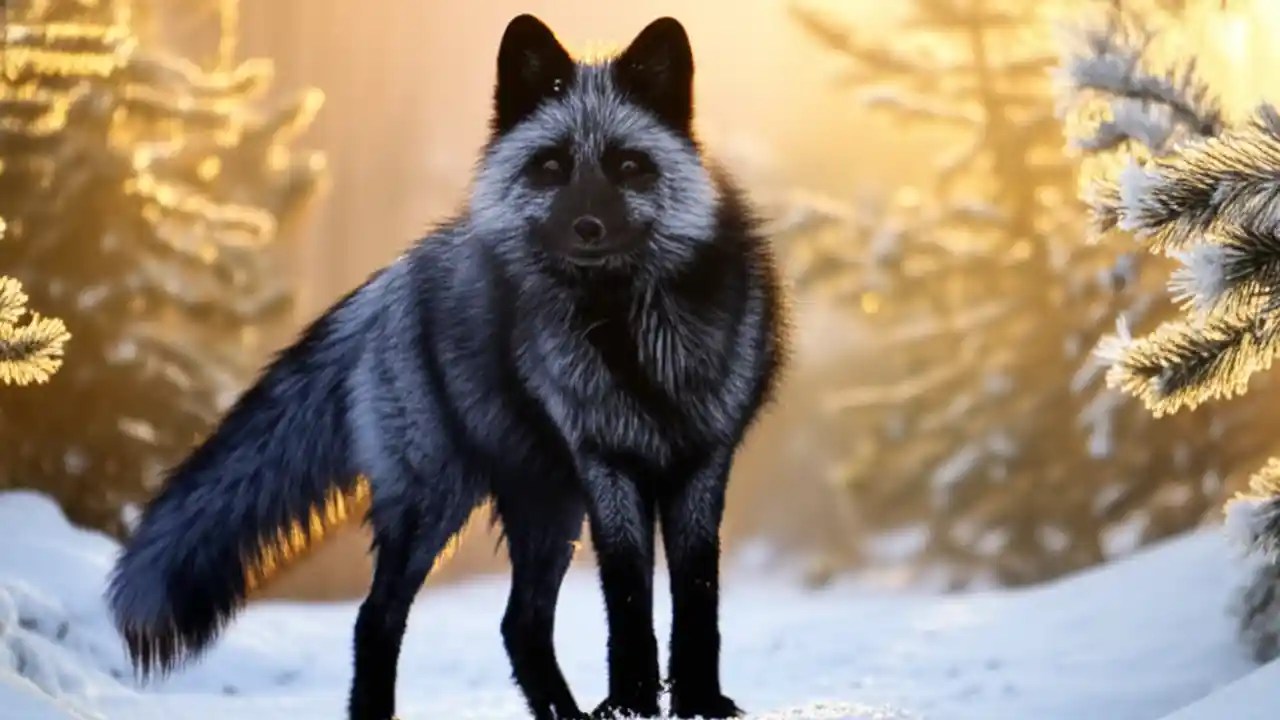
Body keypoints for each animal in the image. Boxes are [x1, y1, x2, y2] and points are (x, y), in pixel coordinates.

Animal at [107, 13, 785, 720]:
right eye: (551, 167)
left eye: (629, 166)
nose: (588, 228)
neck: (632, 349)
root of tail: (397, 273)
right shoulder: (606, 464)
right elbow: (627, 601)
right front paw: (630, 704)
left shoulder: (702, 462)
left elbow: (698, 599)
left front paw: (698, 702)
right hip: (437, 502)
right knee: (377, 619)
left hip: (547, 504)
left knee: (518, 624)